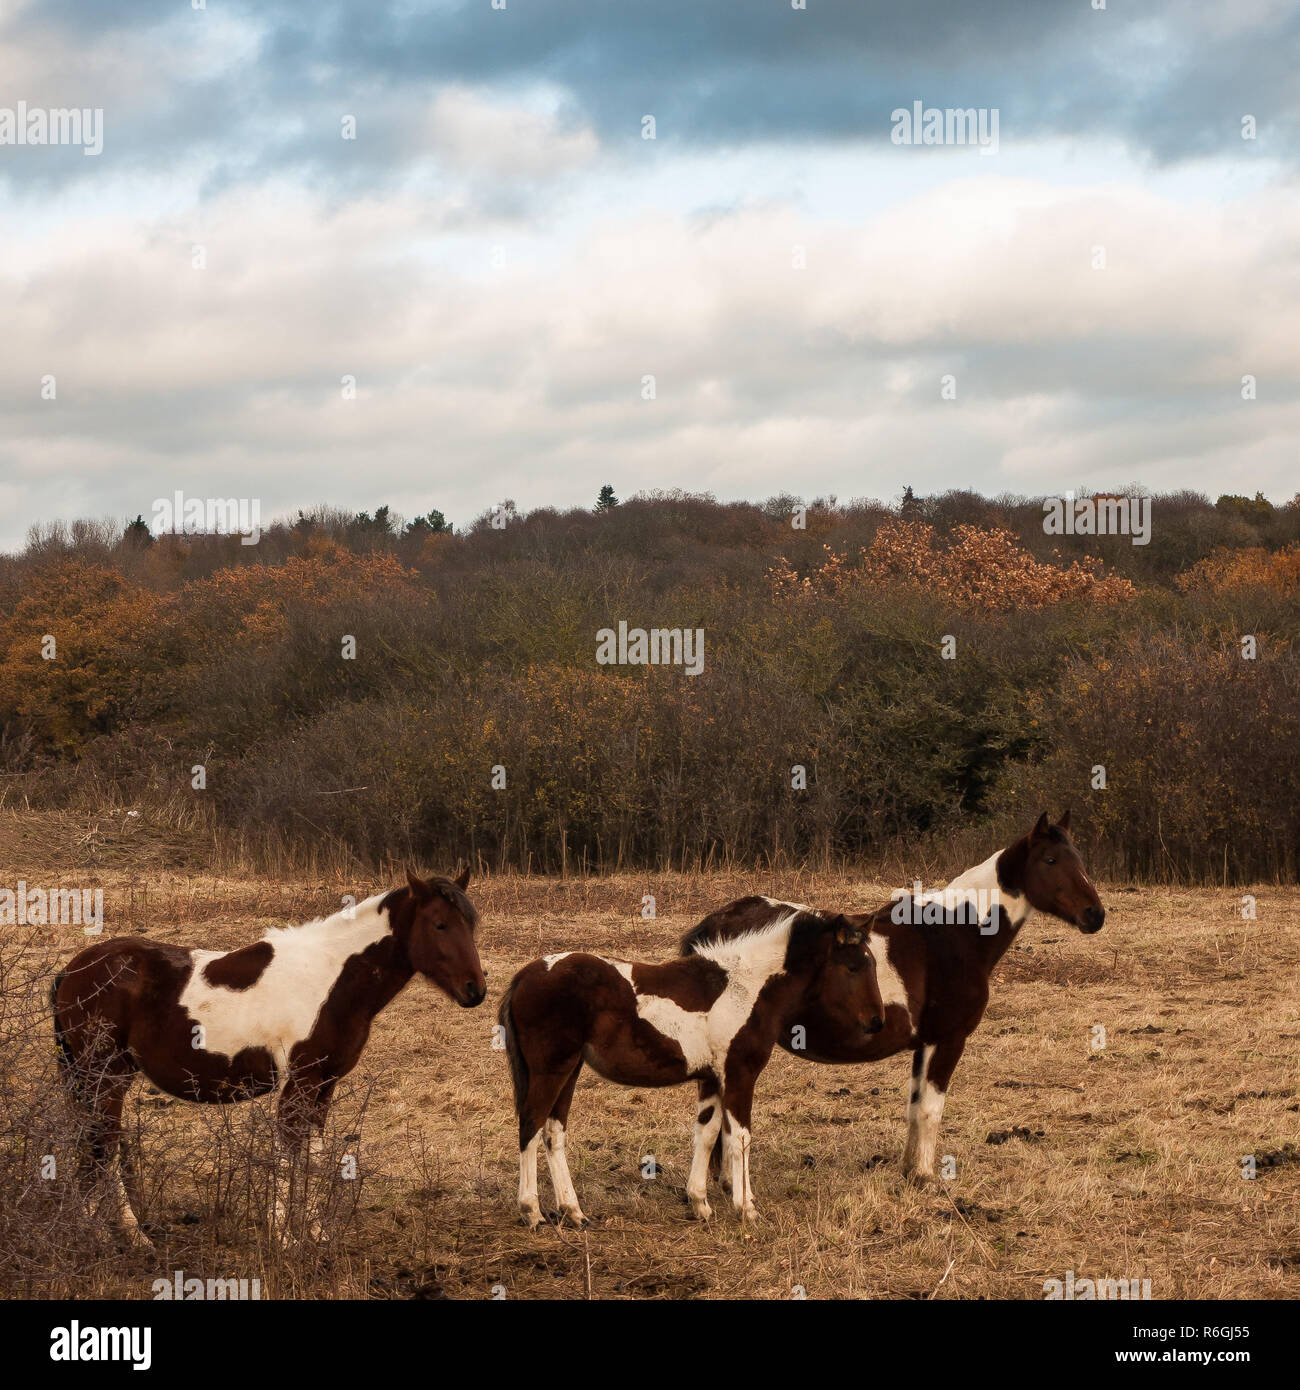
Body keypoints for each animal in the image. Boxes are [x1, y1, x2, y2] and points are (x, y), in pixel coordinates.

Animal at [51, 869, 485, 1247]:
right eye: (440, 925)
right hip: (104, 1077)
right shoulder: (298, 1083)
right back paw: (121, 1235)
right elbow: (285, 1155)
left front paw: (316, 1233)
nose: (476, 990)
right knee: (103, 1142)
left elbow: (312, 1156)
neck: (331, 977)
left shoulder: (323, 1085)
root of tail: (73, 970)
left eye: (470, 924)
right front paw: (283, 1237)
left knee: (94, 1142)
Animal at [499, 909, 884, 1227]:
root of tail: (525, 976)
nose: (877, 1021)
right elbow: (740, 1137)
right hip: (552, 1070)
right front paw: (747, 1209)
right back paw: (532, 1211)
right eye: (854, 967)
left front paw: (700, 1204)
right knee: (531, 1125)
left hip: (569, 1069)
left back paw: (574, 1212)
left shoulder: (712, 1079)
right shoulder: (740, 1074)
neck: (747, 987)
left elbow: (708, 1133)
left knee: (553, 1131)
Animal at [680, 812, 1104, 1187]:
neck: (955, 935)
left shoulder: (924, 1044)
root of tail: (712, 927)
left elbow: (915, 1108)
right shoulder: (948, 1040)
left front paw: (908, 1169)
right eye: (1050, 860)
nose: (1095, 915)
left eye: (1080, 859)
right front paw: (926, 1176)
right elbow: (931, 1110)